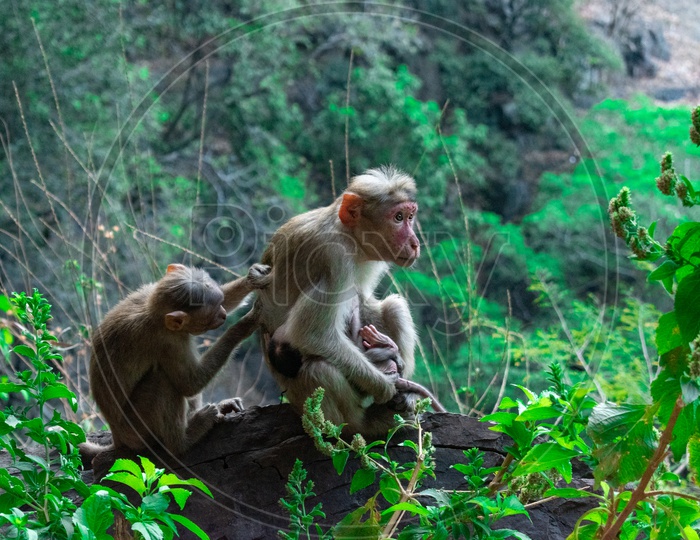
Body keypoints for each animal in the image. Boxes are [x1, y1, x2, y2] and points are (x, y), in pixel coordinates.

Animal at [79, 263, 270, 466]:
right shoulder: (168, 341)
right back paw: (183, 441)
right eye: (211, 315)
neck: (153, 311)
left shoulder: (147, 290)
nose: (223, 315)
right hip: (137, 432)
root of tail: (117, 438)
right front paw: (245, 324)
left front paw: (253, 277)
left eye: (220, 302)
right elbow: (189, 383)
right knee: (162, 381)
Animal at [256, 166, 423, 435]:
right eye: (398, 217)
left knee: (394, 306)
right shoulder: (334, 257)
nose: (415, 243)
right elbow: (311, 334)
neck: (349, 235)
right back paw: (360, 426)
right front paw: (385, 385)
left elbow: (362, 302)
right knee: (319, 368)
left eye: (410, 216)